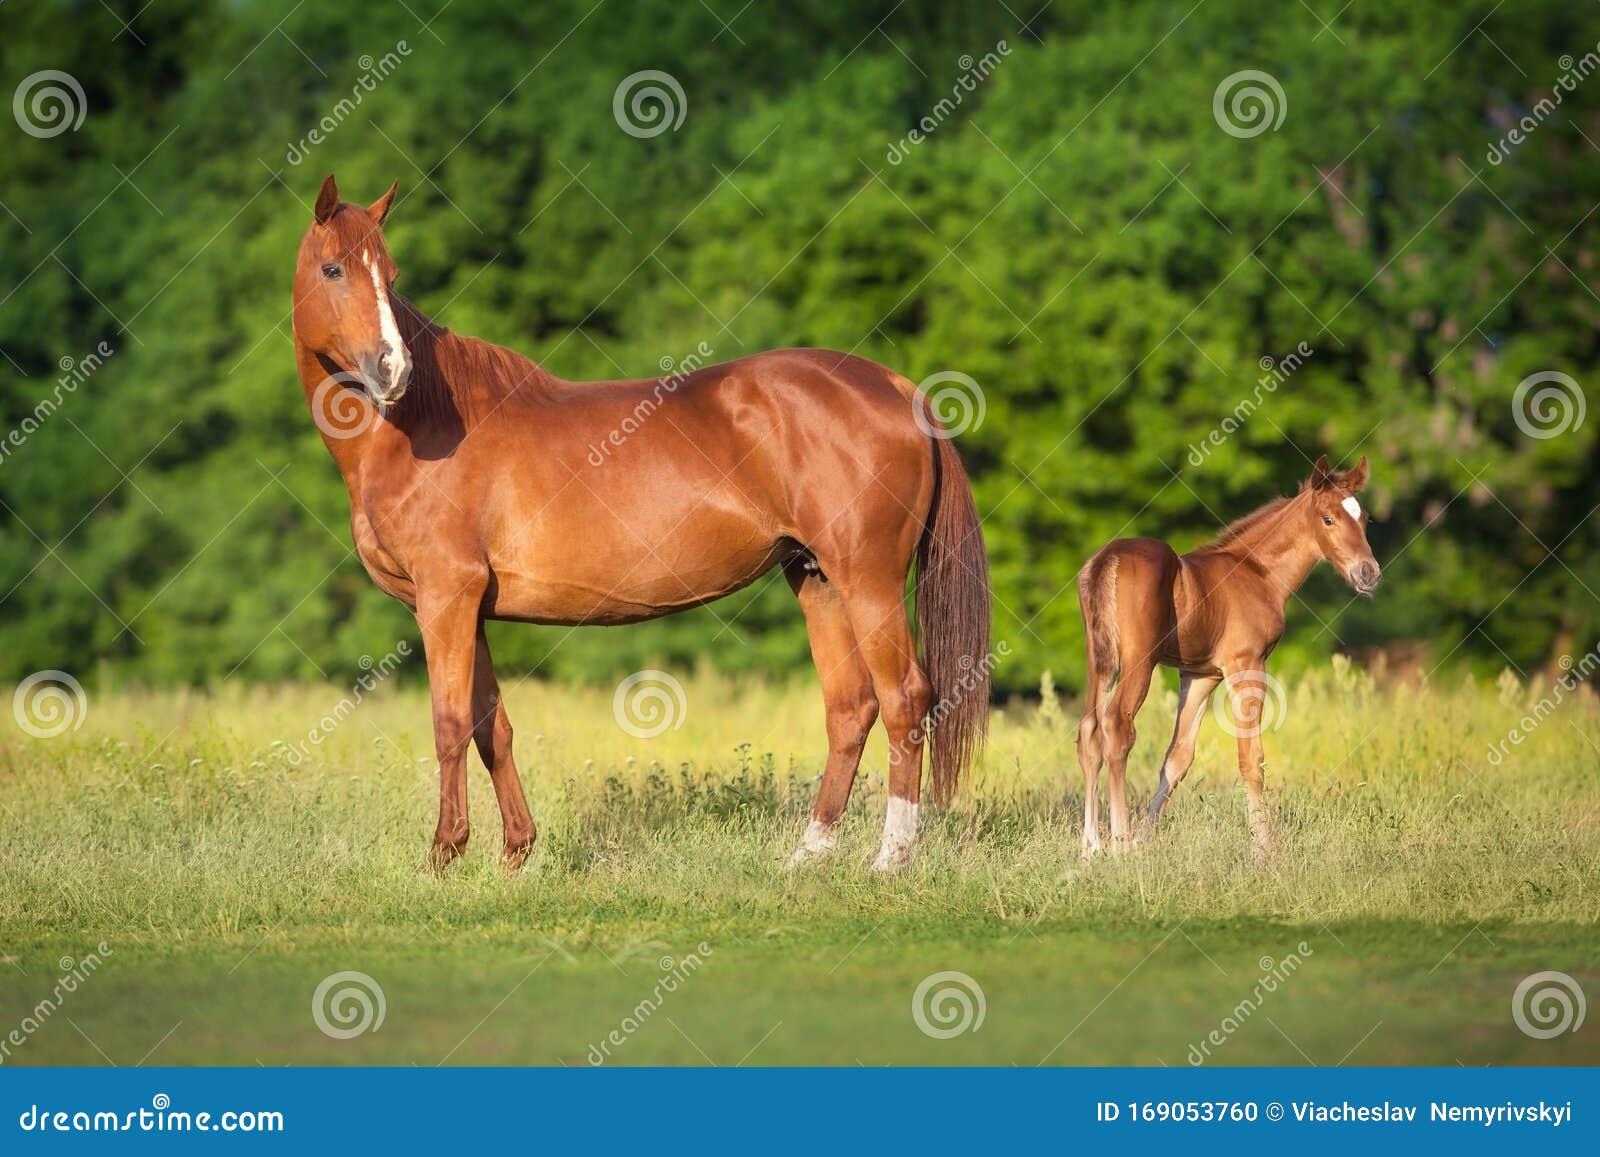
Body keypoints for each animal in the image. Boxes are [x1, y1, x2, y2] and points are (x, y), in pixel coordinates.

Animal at [290, 175, 990, 872]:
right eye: (333, 269)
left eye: (390, 274)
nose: (393, 369)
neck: (423, 425)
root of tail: (897, 386)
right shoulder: (469, 608)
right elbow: (493, 728)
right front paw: (516, 851)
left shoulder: (445, 597)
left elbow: (450, 724)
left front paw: (445, 852)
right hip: (817, 579)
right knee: (850, 707)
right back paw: (806, 856)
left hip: (868, 580)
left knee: (905, 699)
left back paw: (891, 860)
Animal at [1074, 455, 1379, 860]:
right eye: (1328, 518)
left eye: (1364, 520)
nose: (1369, 573)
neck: (1259, 573)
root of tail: (1108, 559)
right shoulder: (1245, 665)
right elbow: (1252, 759)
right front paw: (1265, 851)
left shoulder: (1200, 675)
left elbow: (1177, 759)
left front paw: (1144, 840)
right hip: (1140, 661)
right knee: (1117, 726)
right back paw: (1118, 844)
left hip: (1100, 661)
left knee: (1089, 729)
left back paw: (1090, 847)